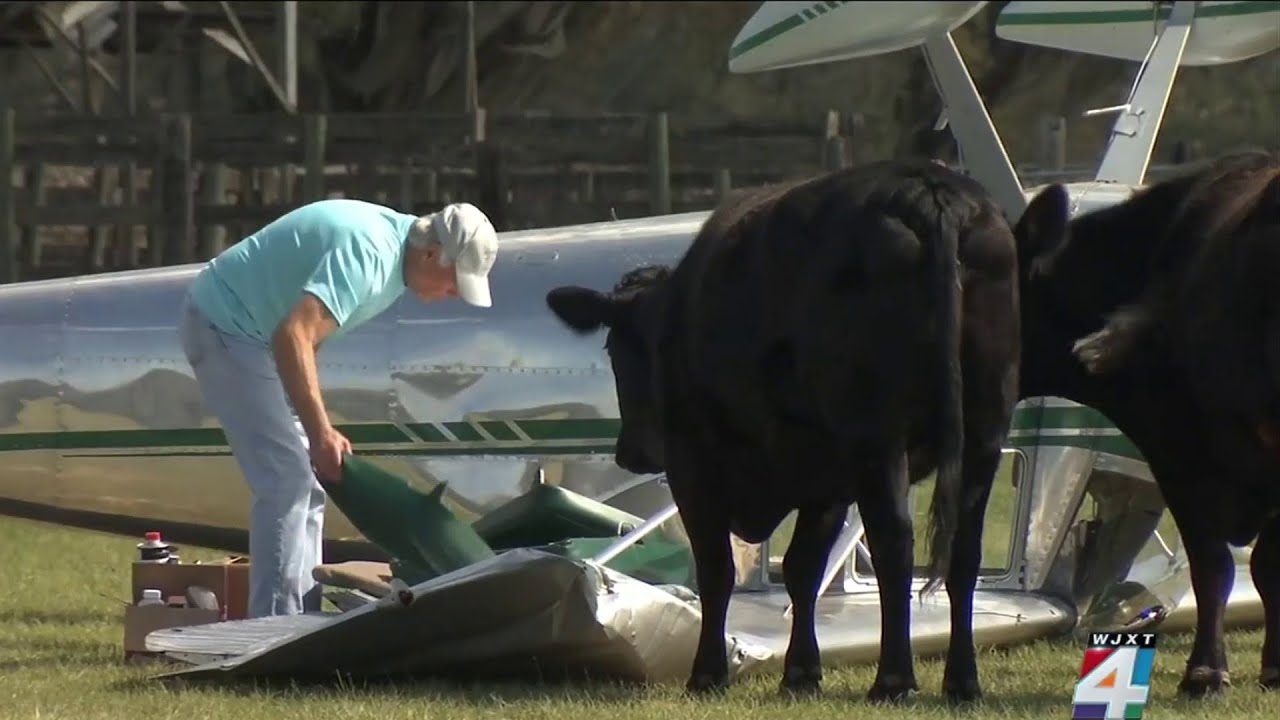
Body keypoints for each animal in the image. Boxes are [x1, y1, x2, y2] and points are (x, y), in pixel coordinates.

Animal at [544, 159, 1053, 703]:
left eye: (614, 349)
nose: (629, 452)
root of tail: (929, 189)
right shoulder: (826, 479)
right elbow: (802, 568)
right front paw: (802, 671)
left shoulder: (693, 464)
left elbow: (717, 570)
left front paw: (708, 673)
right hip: (984, 431)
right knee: (962, 552)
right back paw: (961, 680)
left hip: (877, 437)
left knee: (895, 544)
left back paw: (893, 679)